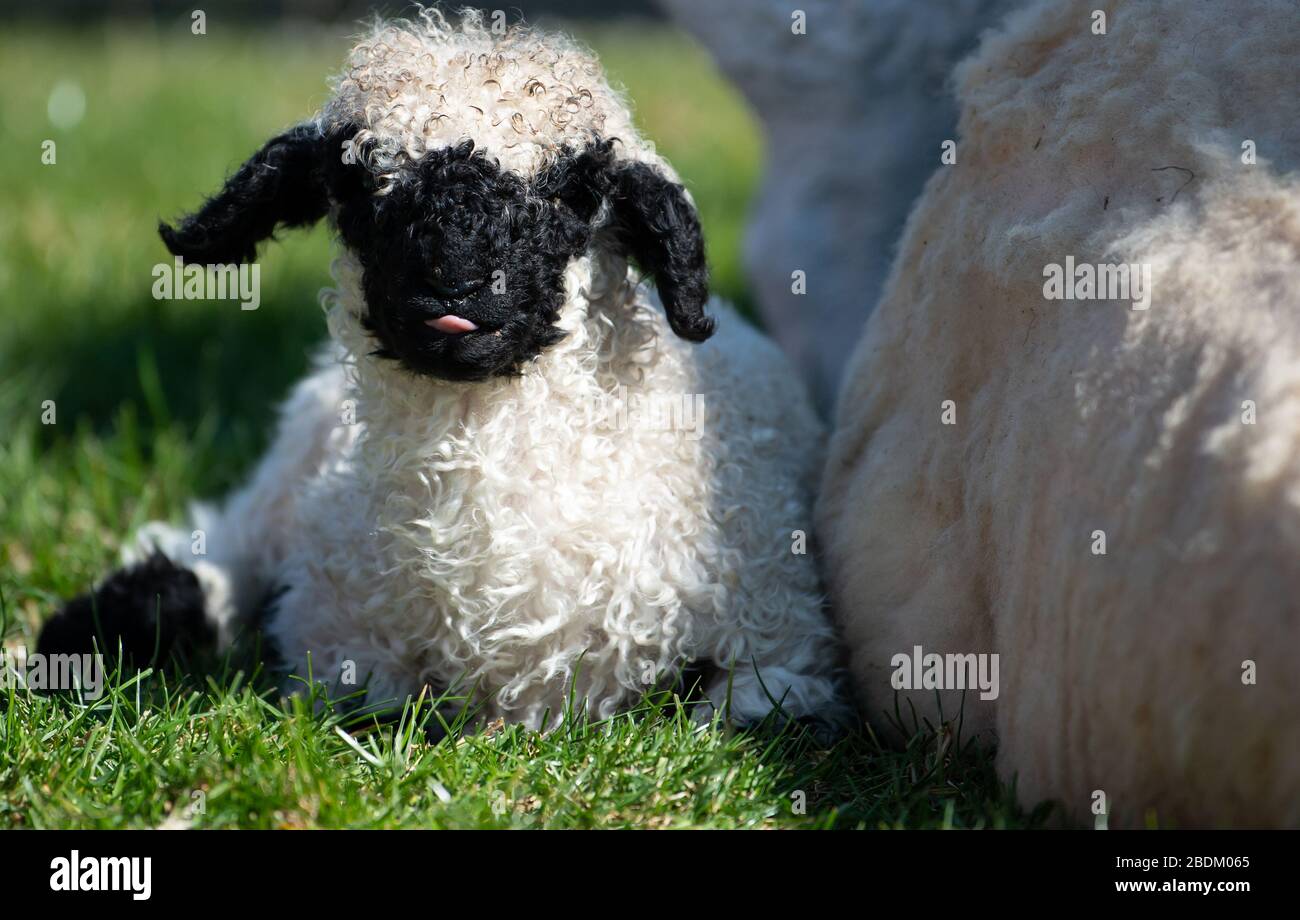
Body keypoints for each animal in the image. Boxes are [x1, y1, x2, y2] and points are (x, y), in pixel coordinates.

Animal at [39, 9, 846, 731]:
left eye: (576, 192)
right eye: (357, 182)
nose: (454, 281)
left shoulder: (779, 627)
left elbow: (751, 703)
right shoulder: (340, 641)